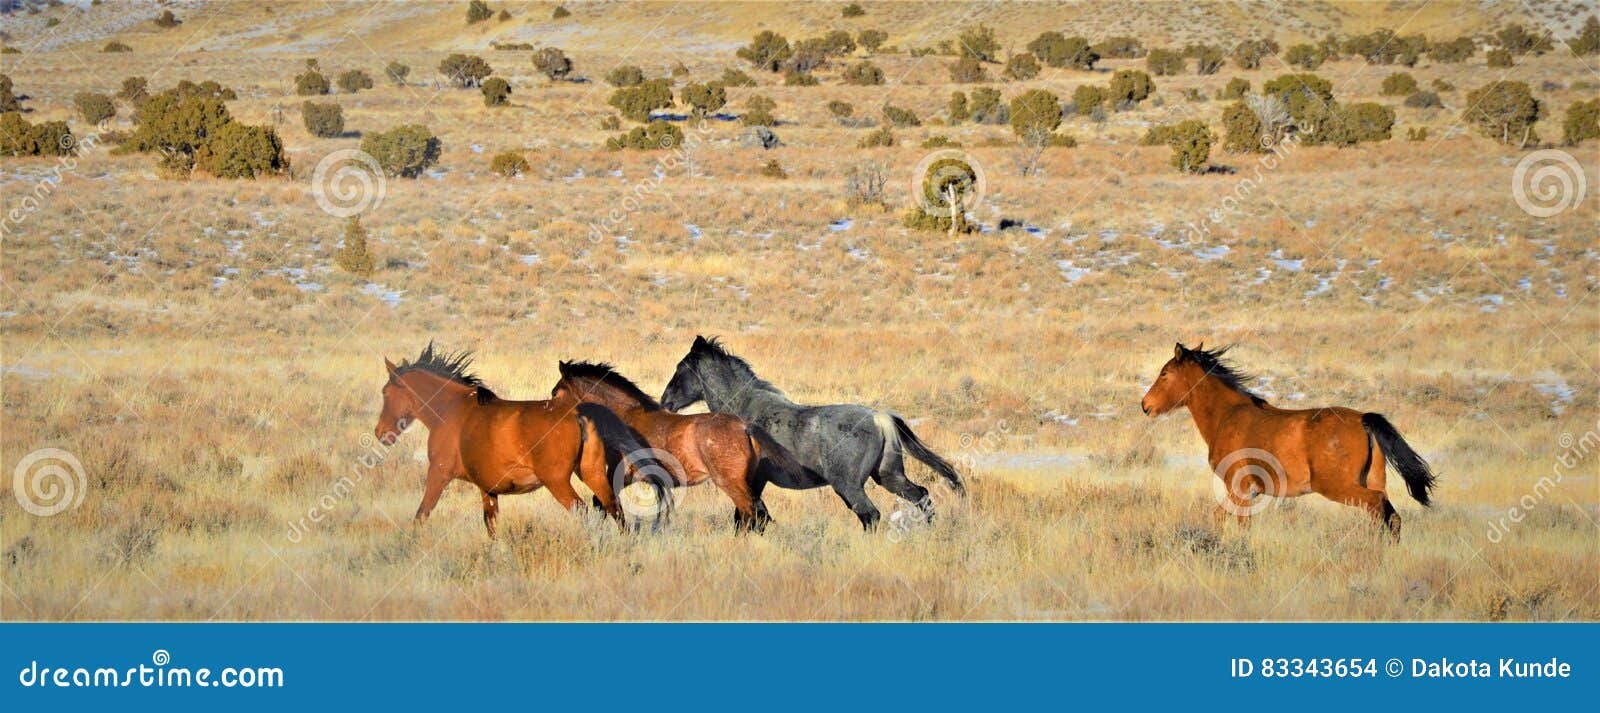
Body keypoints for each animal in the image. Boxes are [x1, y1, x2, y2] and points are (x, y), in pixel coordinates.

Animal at [374, 342, 655, 537]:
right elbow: (491, 525)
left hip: (557, 481)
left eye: (385, 392)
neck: (451, 411)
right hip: (592, 472)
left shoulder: (439, 474)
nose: (380, 433)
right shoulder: (487, 489)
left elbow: (422, 513)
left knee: (582, 510)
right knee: (613, 508)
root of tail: (578, 413)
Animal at [550, 360, 814, 533]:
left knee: (751, 515)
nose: (552, 417)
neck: (625, 417)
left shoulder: (621, 474)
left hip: (731, 483)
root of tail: (744, 427)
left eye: (556, 392)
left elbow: (603, 503)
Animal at [659, 336, 965, 530]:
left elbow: (747, 517)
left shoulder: (750, 480)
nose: (665, 402)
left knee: (870, 515)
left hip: (849, 485)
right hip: (889, 476)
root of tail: (881, 419)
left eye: (680, 370)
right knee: (921, 496)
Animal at [1139, 342, 1436, 540]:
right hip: (1374, 480)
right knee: (1392, 516)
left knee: (1376, 508)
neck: (1227, 416)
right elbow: (1221, 517)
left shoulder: (1239, 487)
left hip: (1338, 486)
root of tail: (1364, 419)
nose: (1145, 405)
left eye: (1164, 374)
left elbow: (1238, 523)